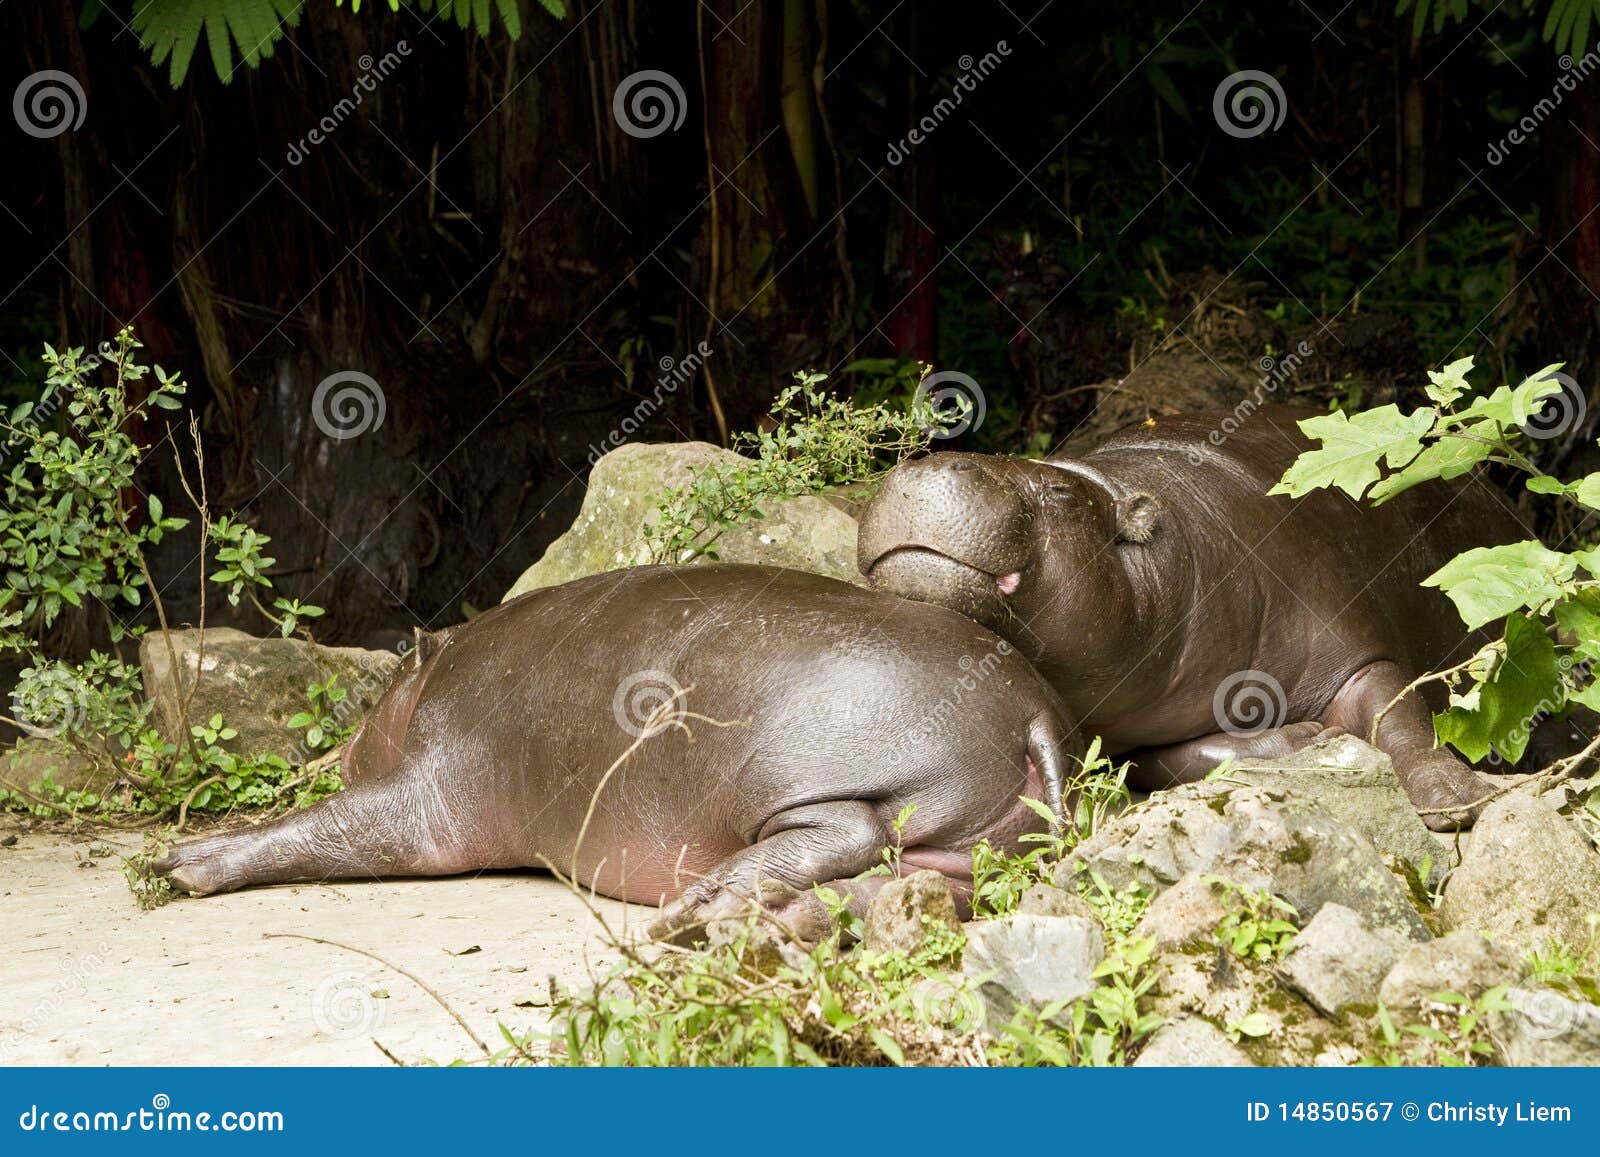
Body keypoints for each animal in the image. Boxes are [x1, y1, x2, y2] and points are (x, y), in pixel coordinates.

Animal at [152, 565, 1081, 940]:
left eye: (381, 683)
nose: (345, 748)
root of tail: (1034, 708)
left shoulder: (429, 793)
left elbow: (327, 825)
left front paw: (178, 862)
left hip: (821, 776)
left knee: (847, 833)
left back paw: (692, 909)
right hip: (955, 855)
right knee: (886, 885)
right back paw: (721, 918)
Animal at [857, 405, 1559, 830]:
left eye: (1059, 493)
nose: (929, 461)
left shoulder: (1352, 646)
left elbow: (1401, 713)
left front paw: (1458, 801)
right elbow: (1165, 759)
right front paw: (1310, 738)